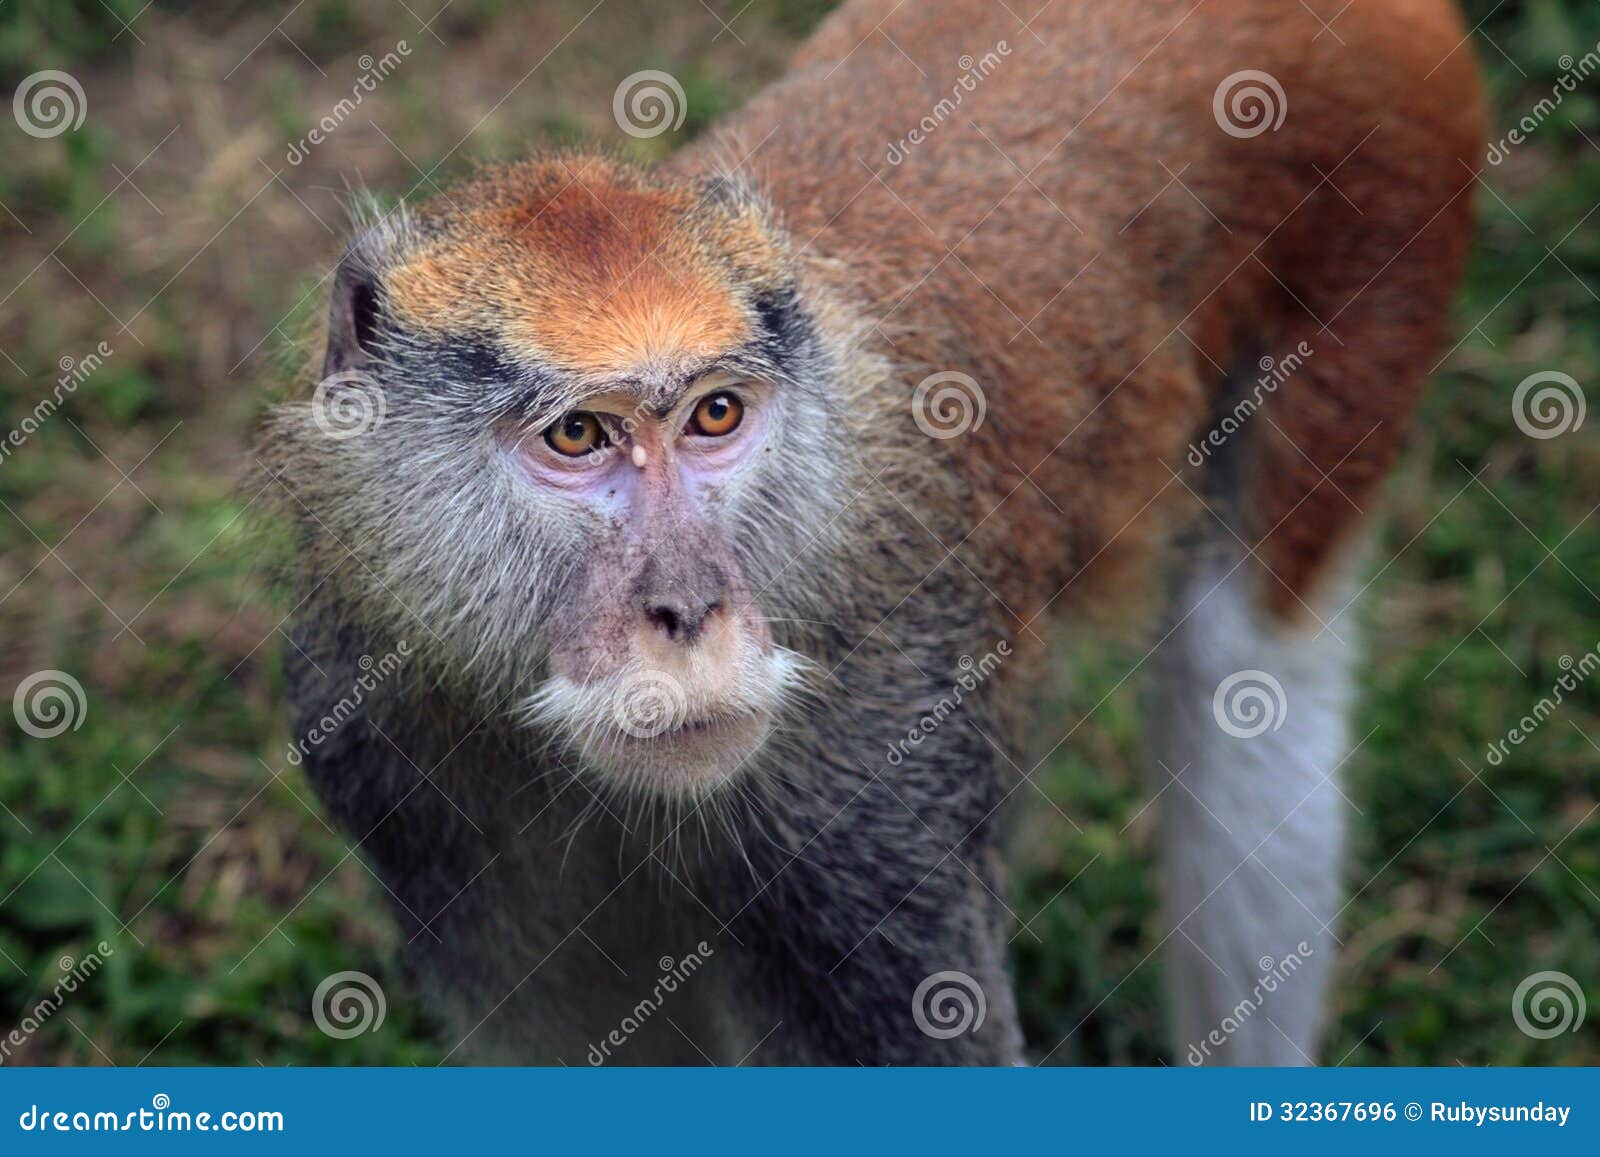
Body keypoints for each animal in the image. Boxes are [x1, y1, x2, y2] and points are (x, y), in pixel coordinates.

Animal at [258, 0, 1484, 1065]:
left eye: (715, 415)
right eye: (578, 435)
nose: (687, 610)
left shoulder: (872, 807)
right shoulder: (393, 758)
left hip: (1378, 242)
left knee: (1242, 683)